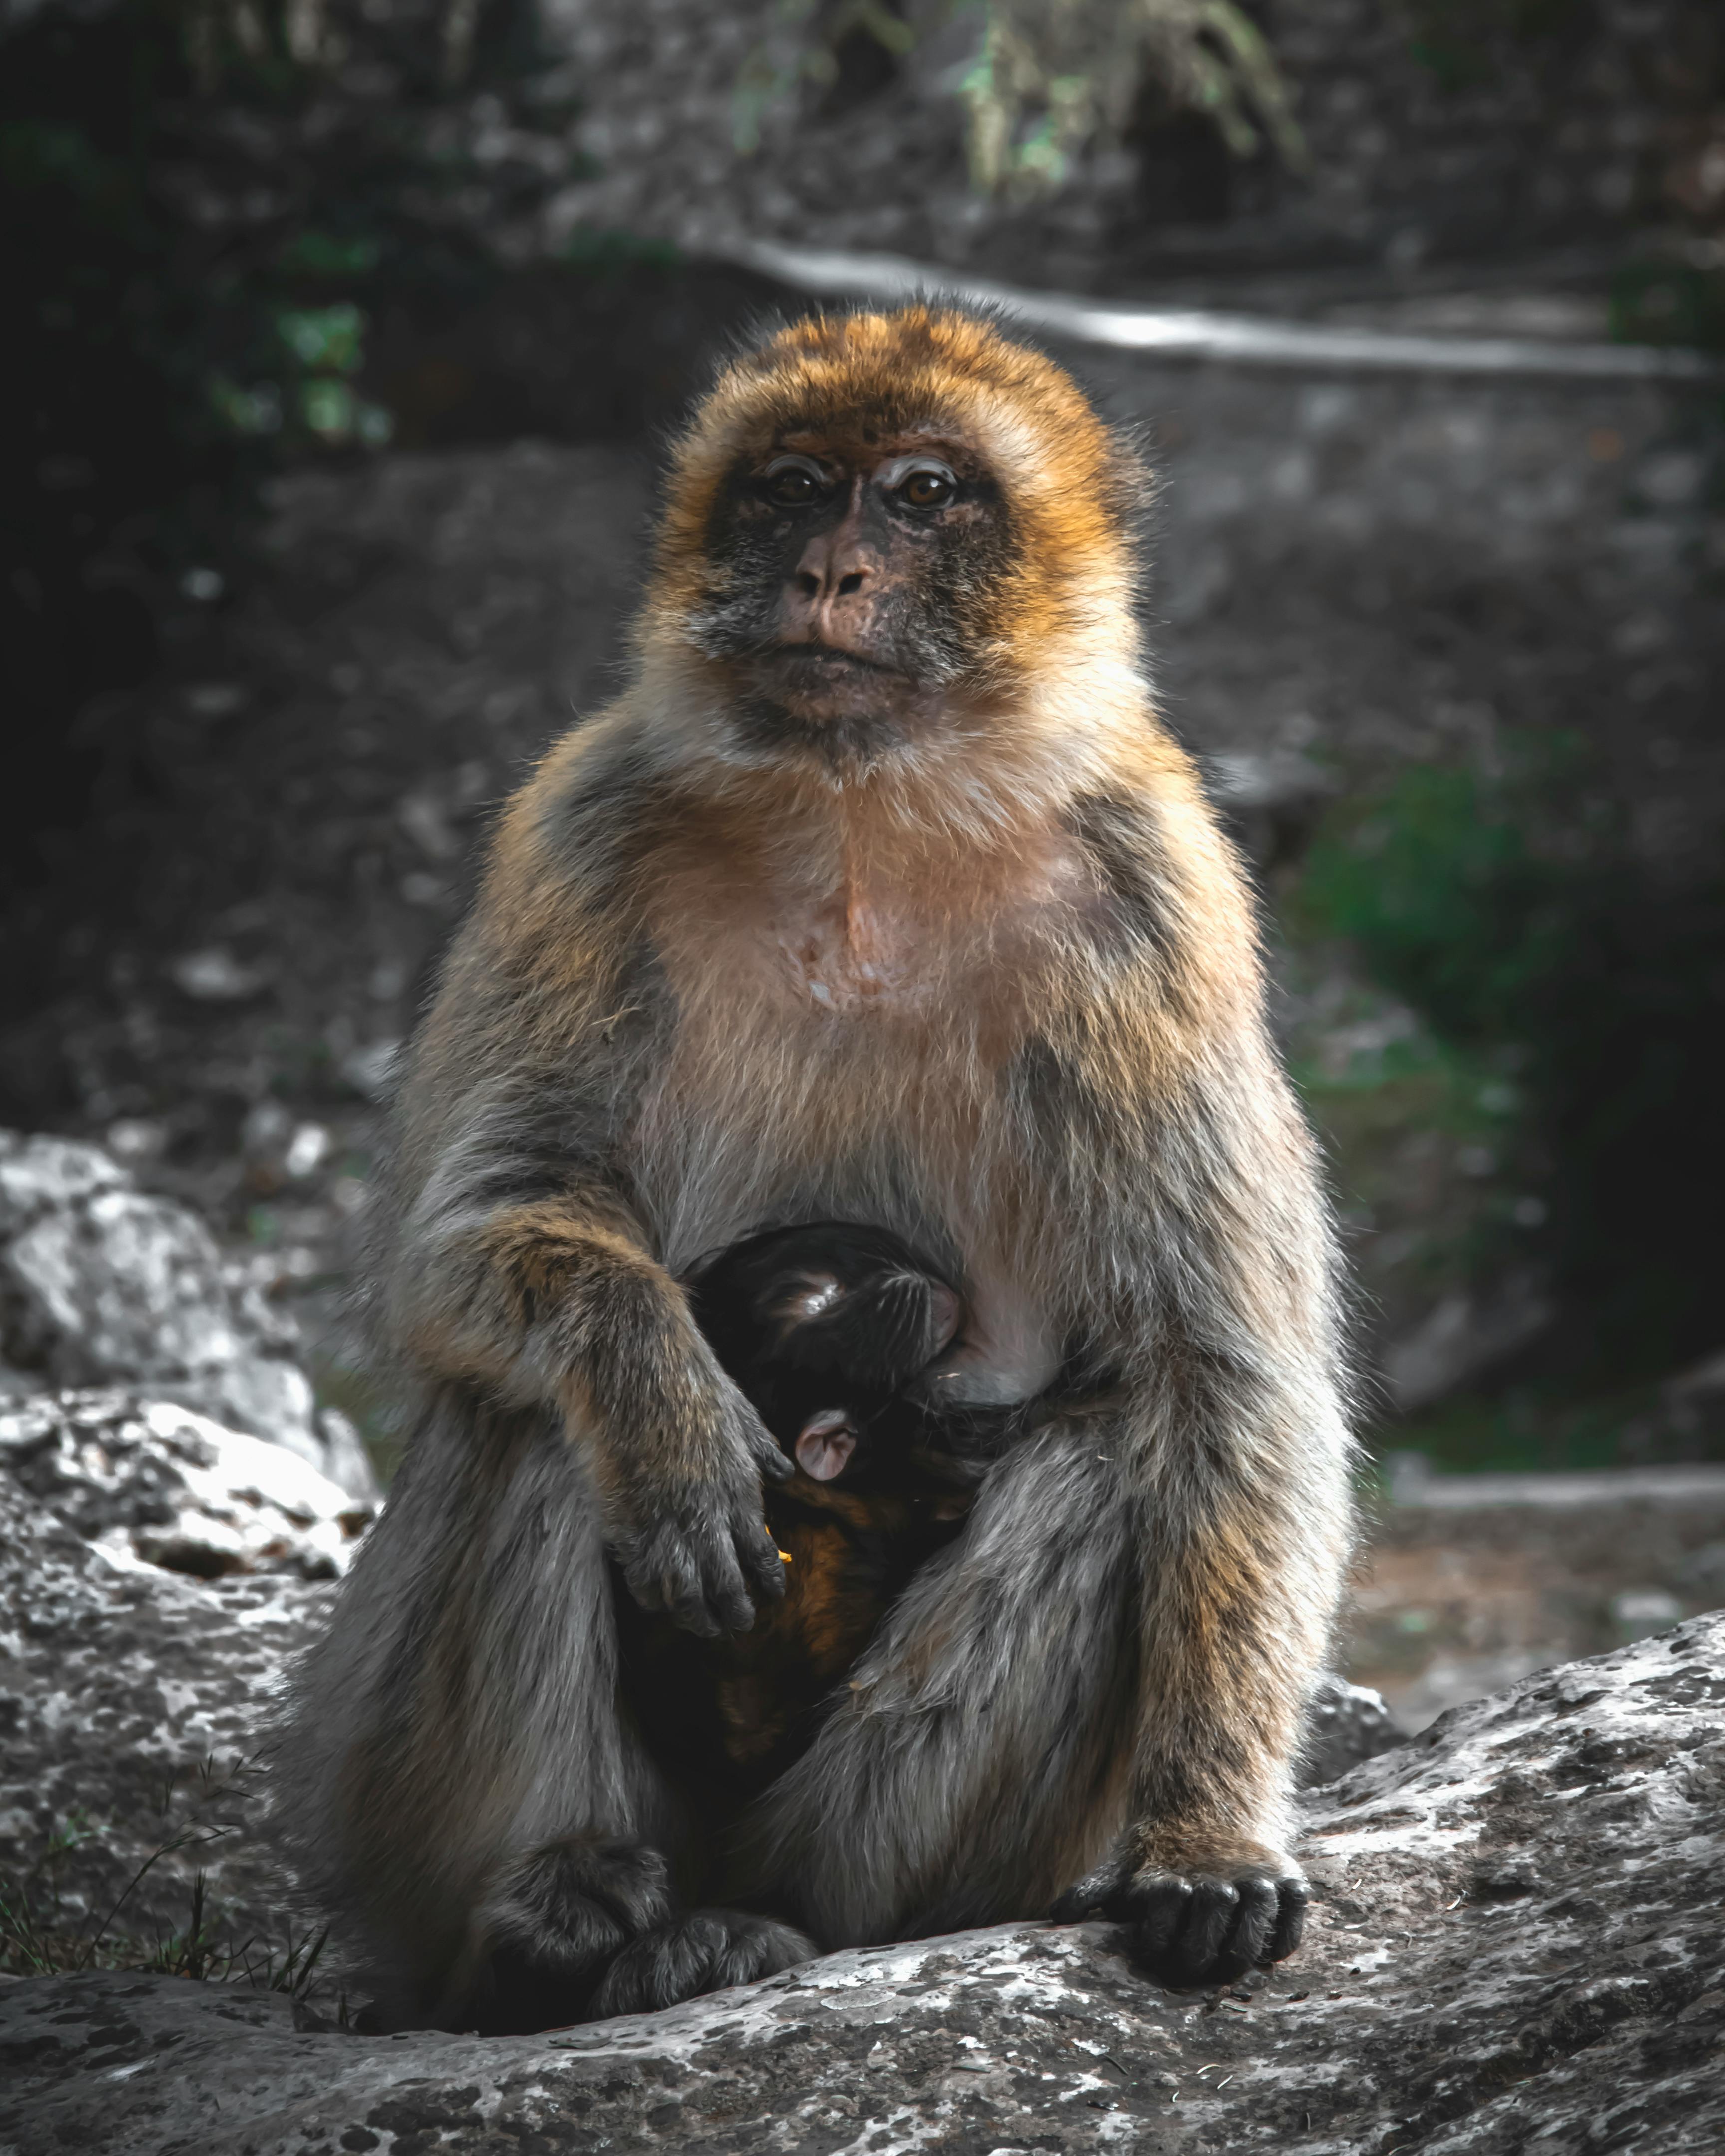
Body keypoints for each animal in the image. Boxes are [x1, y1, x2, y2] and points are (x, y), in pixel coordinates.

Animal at [274, 304, 1353, 2036]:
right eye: (792, 485)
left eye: (922, 494)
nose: (830, 570)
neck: (863, 811)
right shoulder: (579, 829)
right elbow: (476, 1226)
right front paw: (662, 1405)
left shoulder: (1155, 892)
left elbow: (1220, 1373)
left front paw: (1204, 1838)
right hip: (406, 1817)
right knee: (528, 1417)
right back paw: (550, 1925)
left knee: (1104, 1464)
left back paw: (773, 1927)